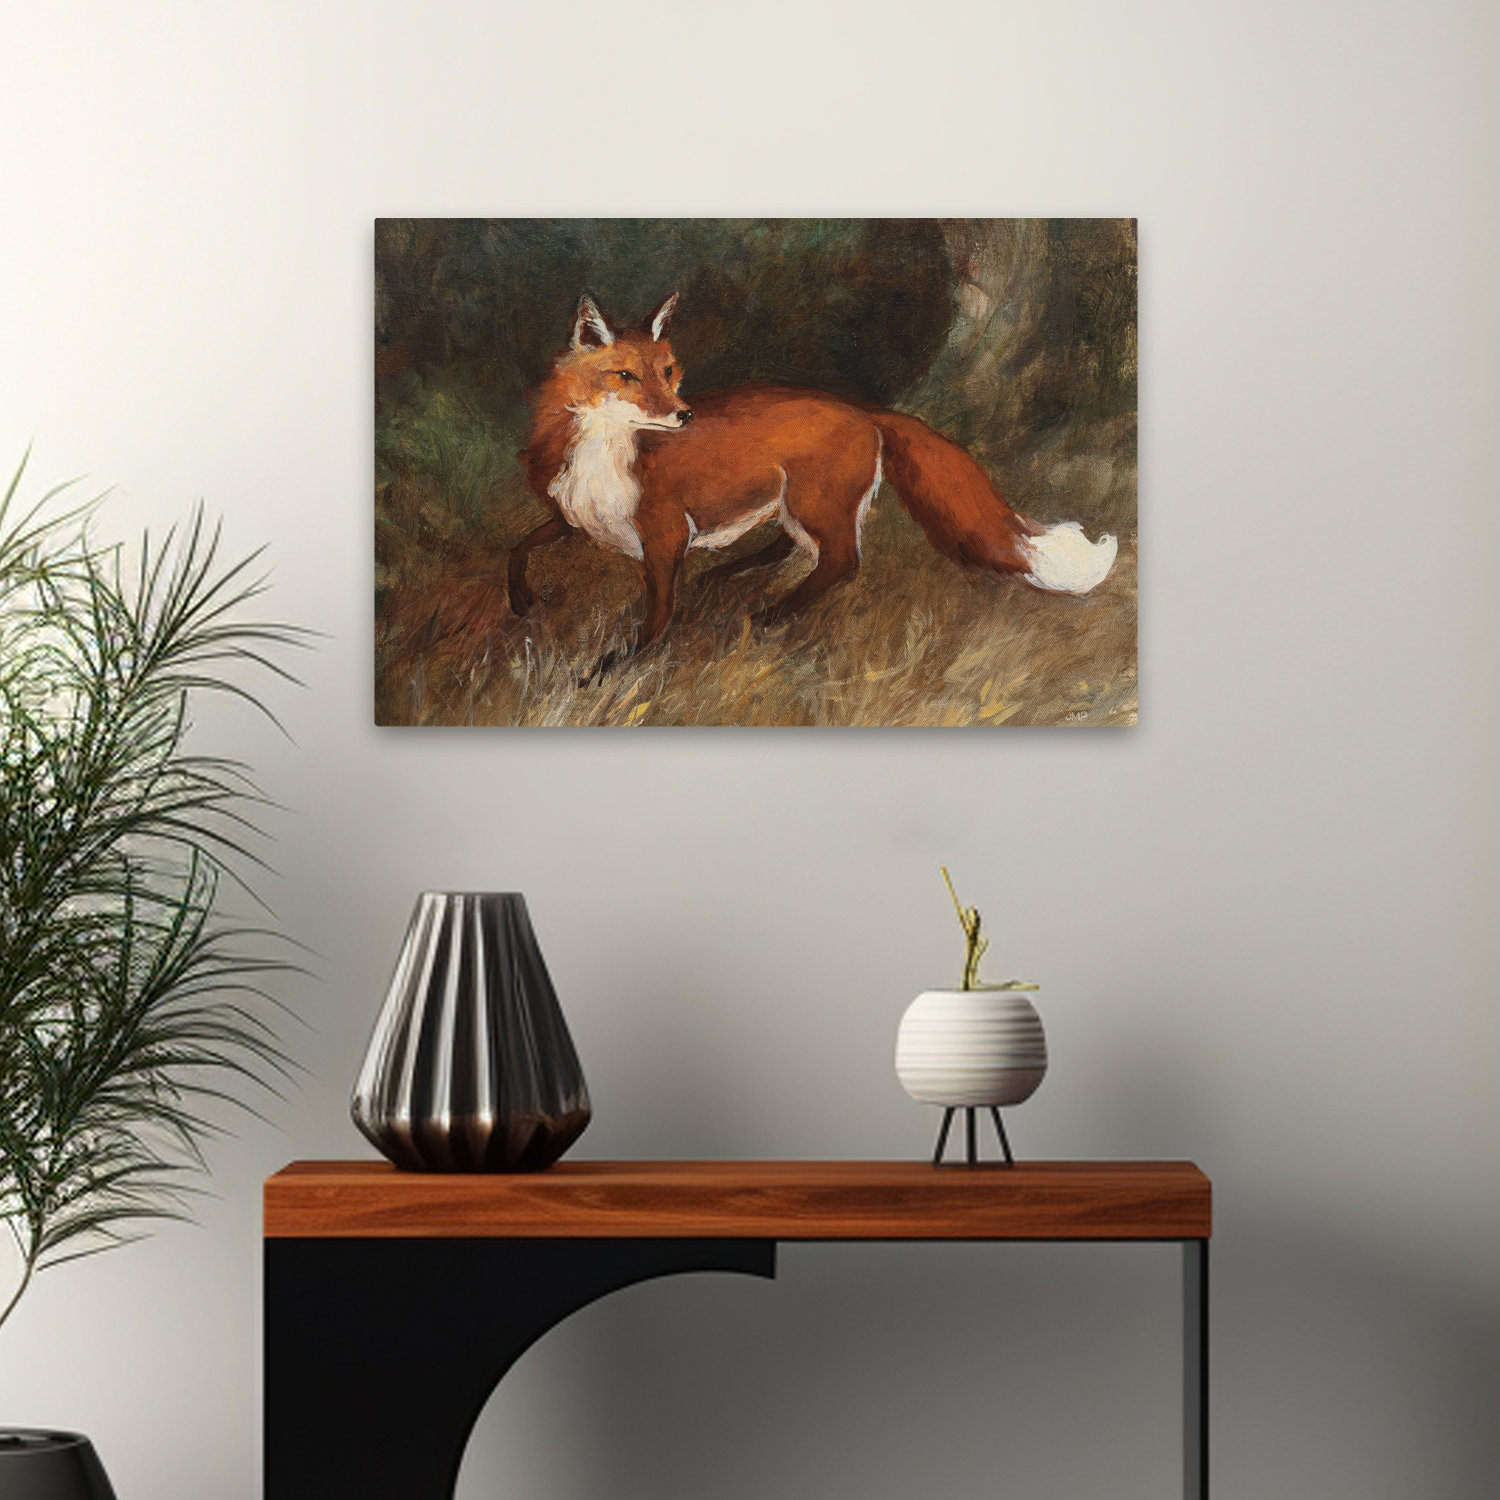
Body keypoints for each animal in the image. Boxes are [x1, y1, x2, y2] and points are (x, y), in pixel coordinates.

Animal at [508, 291, 1118, 655]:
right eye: (626, 376)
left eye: (668, 372)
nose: (683, 415)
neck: (605, 457)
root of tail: (864, 410)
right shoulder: (573, 517)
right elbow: (517, 547)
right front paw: (520, 603)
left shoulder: (664, 536)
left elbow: (656, 617)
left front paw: (616, 667)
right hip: (796, 503)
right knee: (793, 548)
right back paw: (727, 578)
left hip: (813, 502)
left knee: (841, 563)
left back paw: (772, 614)